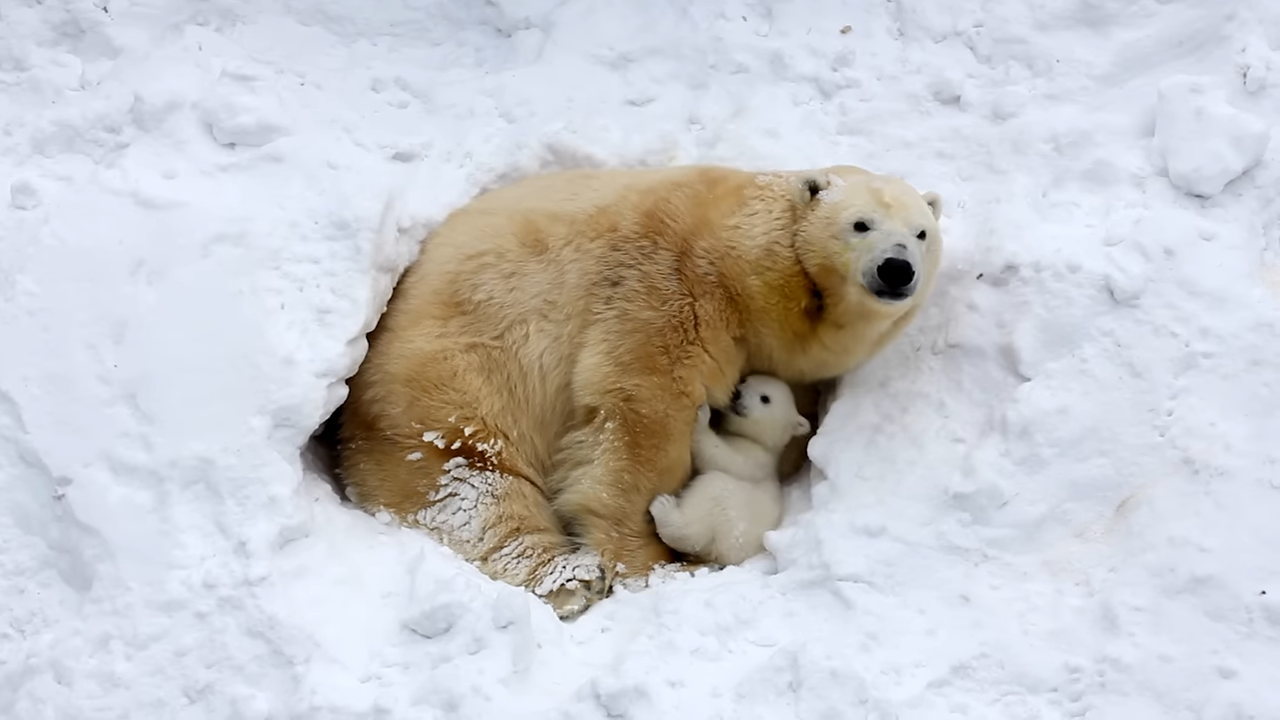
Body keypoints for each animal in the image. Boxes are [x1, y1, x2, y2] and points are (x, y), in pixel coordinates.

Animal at [649, 374, 811, 566]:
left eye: (765, 398)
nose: (736, 394)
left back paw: (662, 507)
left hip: (728, 516)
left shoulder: (757, 459)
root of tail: (720, 554)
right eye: (745, 380)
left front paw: (703, 416)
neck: (759, 441)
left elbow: (723, 459)